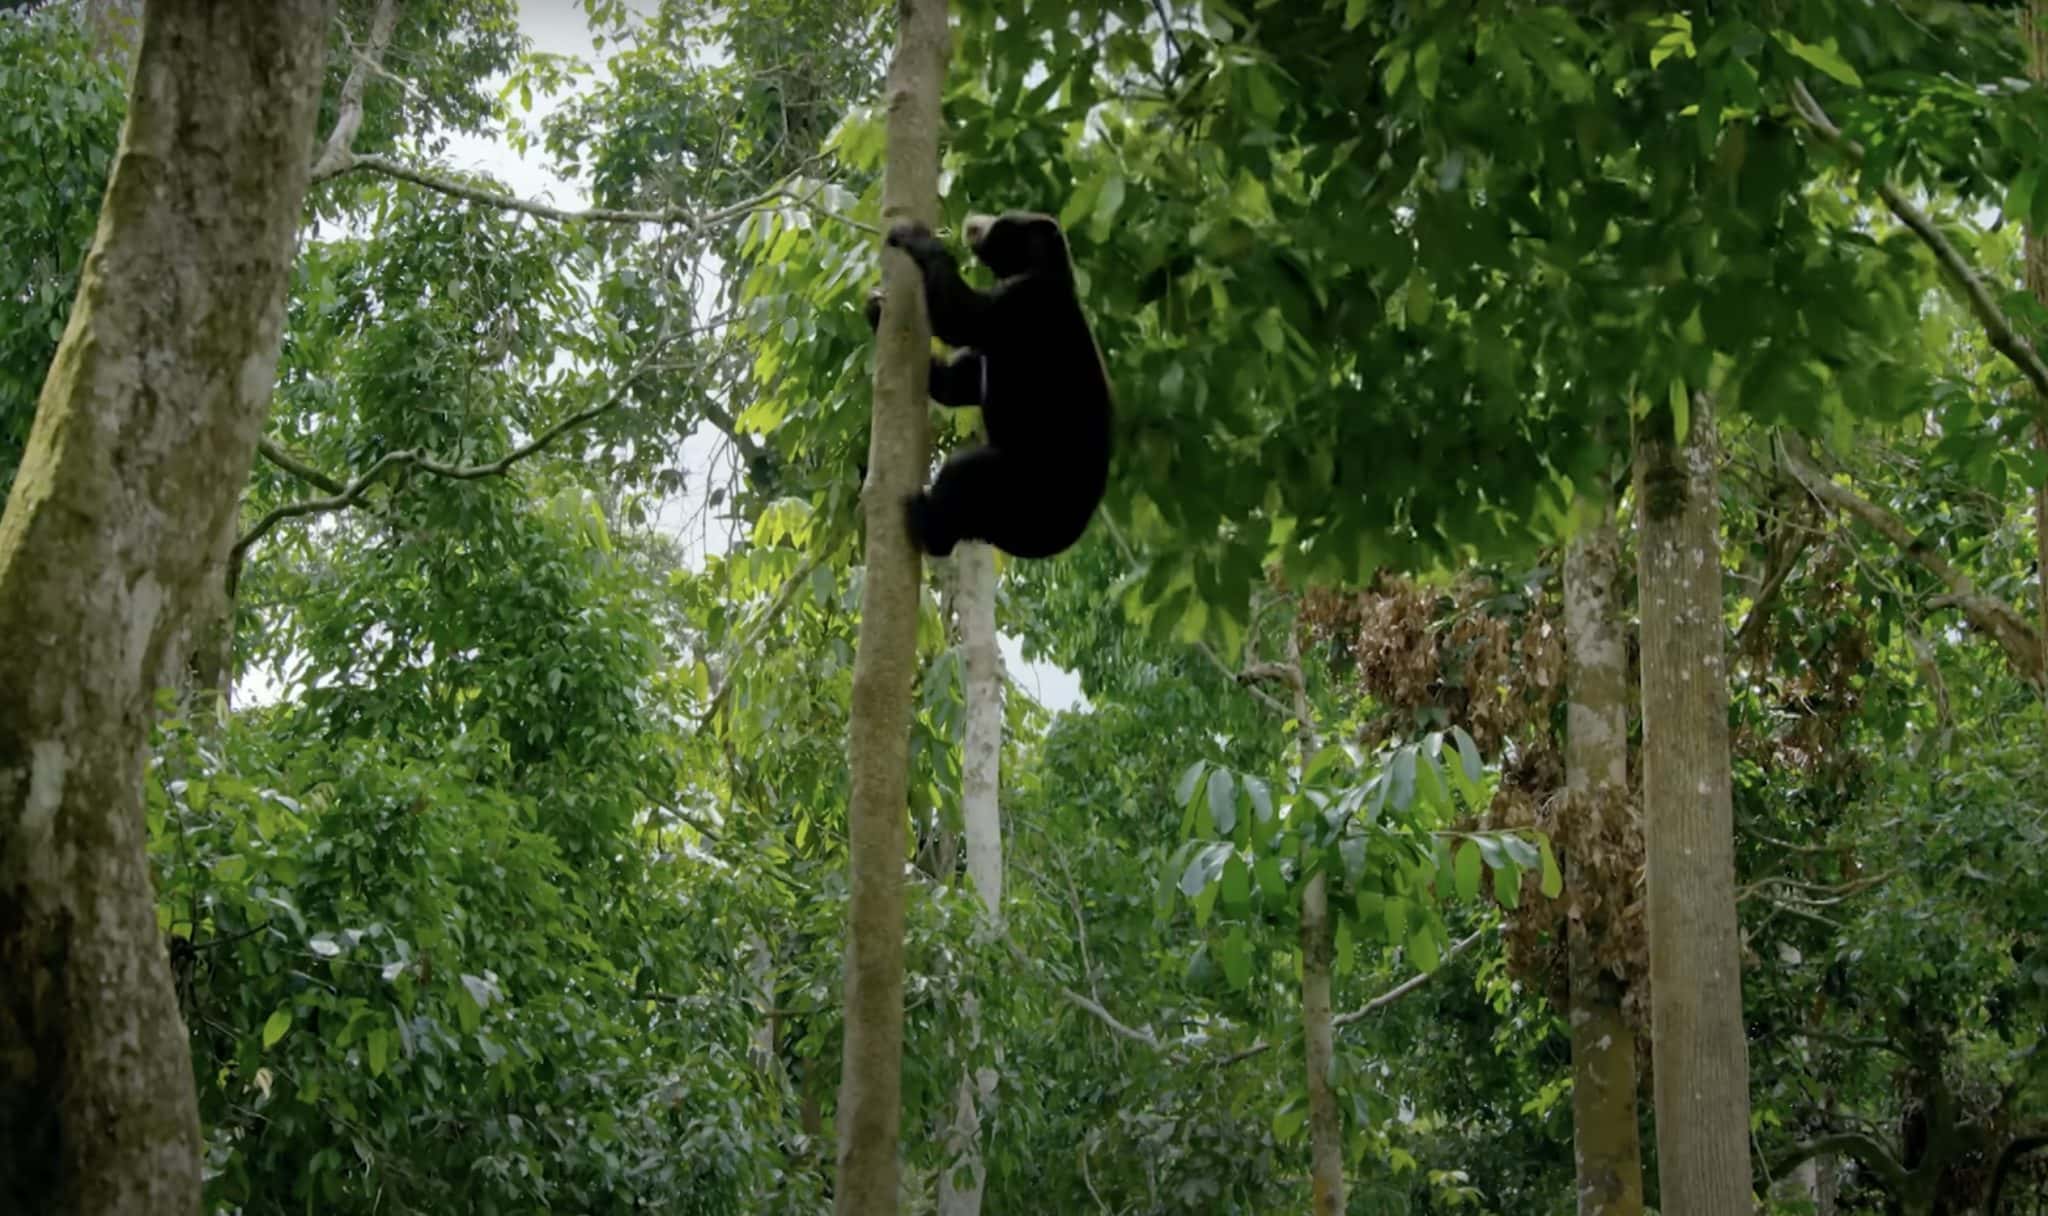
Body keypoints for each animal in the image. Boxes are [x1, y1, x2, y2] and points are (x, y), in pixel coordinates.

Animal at [865, 210, 1113, 560]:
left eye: (1004, 222)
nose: (972, 223)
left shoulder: (1023, 305)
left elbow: (961, 316)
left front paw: (911, 234)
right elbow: (955, 383)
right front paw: (874, 307)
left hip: (1020, 483)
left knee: (963, 473)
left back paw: (922, 518)